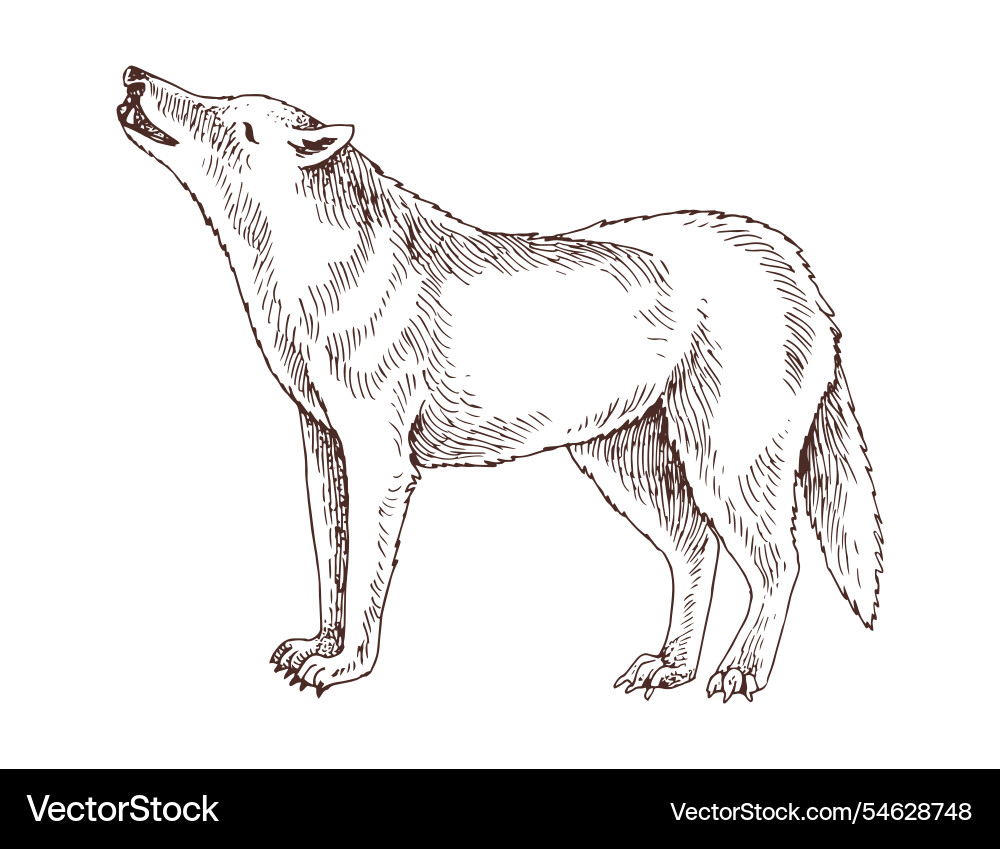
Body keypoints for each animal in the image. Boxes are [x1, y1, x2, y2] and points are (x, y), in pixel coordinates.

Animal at [117, 67, 882, 702]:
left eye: (231, 117)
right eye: (217, 100)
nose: (133, 74)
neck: (319, 267)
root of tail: (800, 267)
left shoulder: (382, 461)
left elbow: (364, 578)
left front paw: (344, 667)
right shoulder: (324, 446)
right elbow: (332, 562)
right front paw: (319, 647)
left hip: (727, 460)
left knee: (779, 564)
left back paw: (740, 670)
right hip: (627, 461)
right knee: (697, 550)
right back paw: (671, 666)